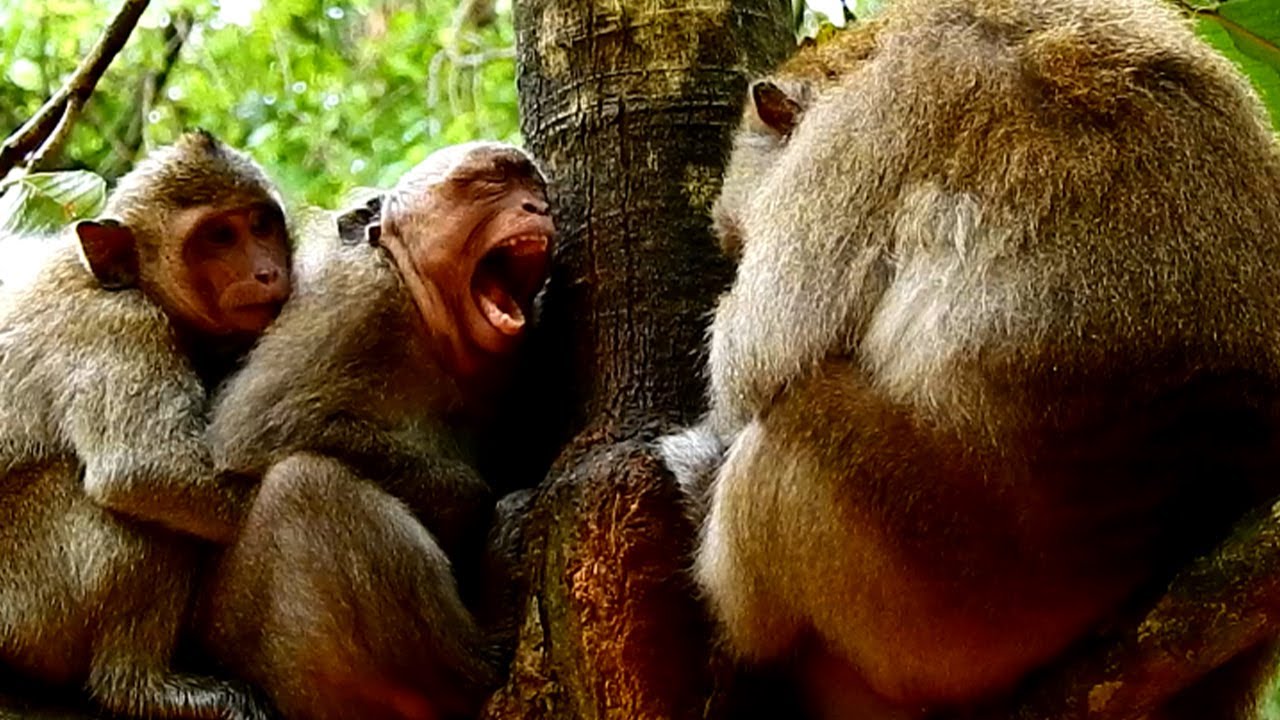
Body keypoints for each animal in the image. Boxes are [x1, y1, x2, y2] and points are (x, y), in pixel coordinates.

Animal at [0, 130, 291, 720]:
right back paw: (140, 687)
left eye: (261, 223)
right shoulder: (119, 328)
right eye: (218, 237)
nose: (268, 272)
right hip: (24, 600)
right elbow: (147, 471)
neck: (127, 283)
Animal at [196, 140, 555, 720]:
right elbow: (254, 430)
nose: (537, 209)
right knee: (304, 488)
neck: (428, 324)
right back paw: (478, 660)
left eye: (535, 189)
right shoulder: (358, 298)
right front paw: (471, 503)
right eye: (490, 183)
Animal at [661, 1, 1280, 718]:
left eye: (738, 243)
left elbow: (761, 352)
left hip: (954, 591)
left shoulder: (873, 119)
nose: (736, 248)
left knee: (790, 437)